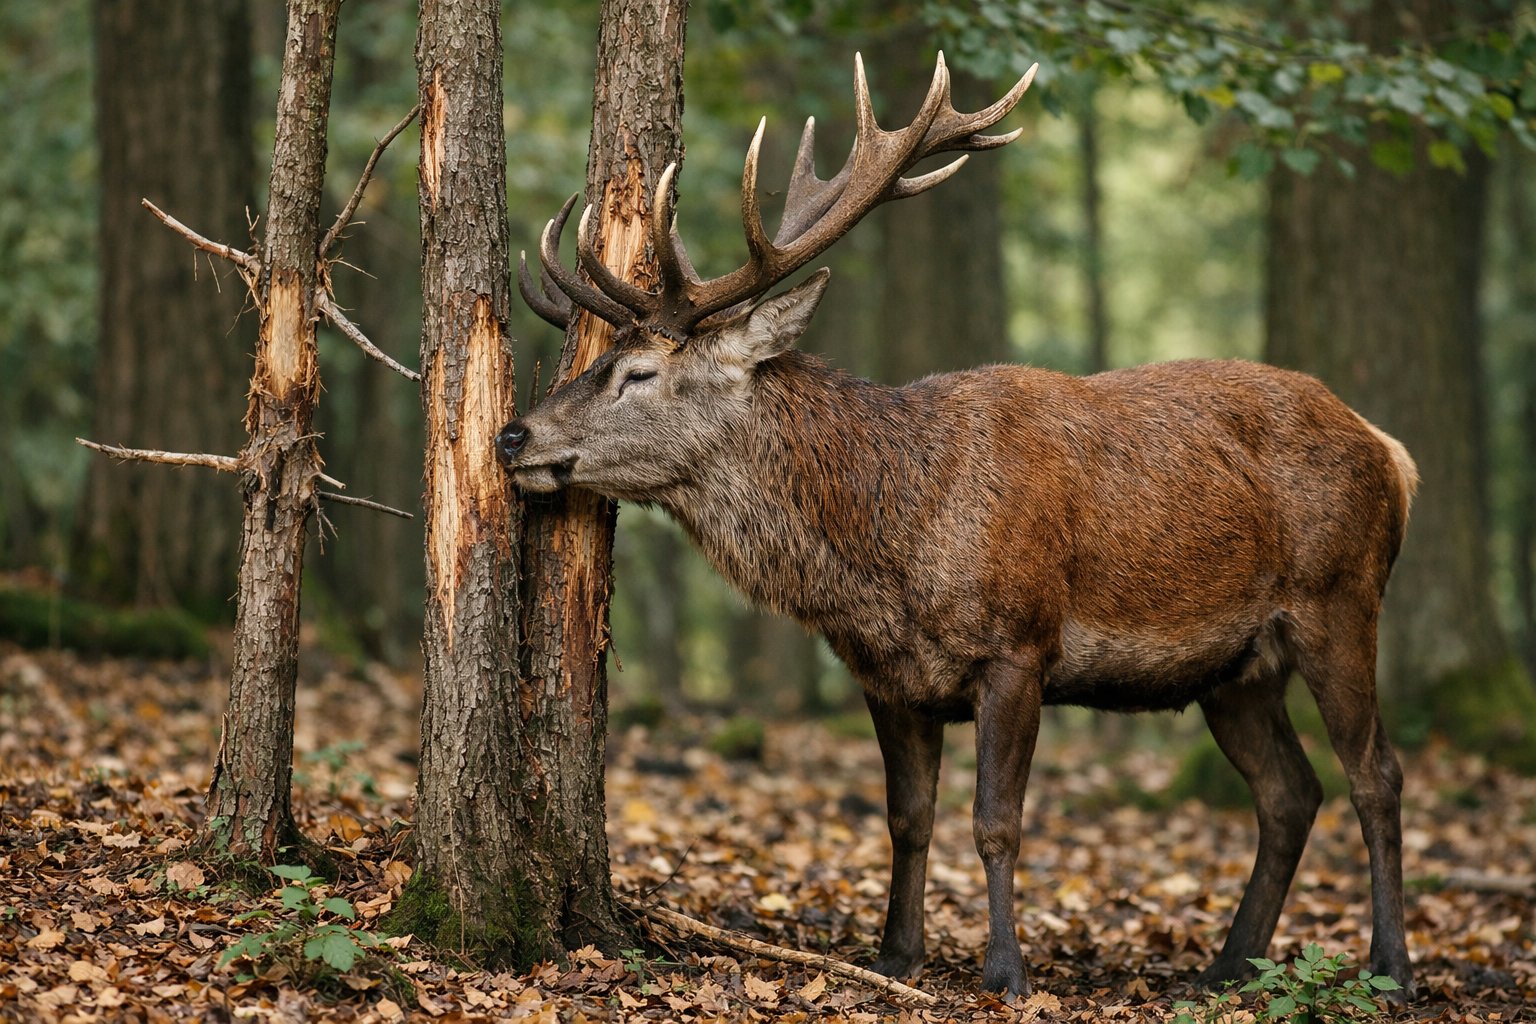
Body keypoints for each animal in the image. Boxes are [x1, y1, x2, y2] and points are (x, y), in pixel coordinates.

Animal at [496, 53, 1416, 1000]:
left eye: (637, 373)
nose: (513, 436)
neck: (890, 557)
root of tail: (1391, 451)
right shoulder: (887, 677)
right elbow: (908, 818)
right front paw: (894, 956)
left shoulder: (1021, 645)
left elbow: (995, 821)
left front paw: (1004, 970)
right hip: (1235, 669)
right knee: (1290, 792)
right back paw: (1230, 965)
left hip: (1340, 597)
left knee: (1375, 775)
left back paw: (1390, 963)